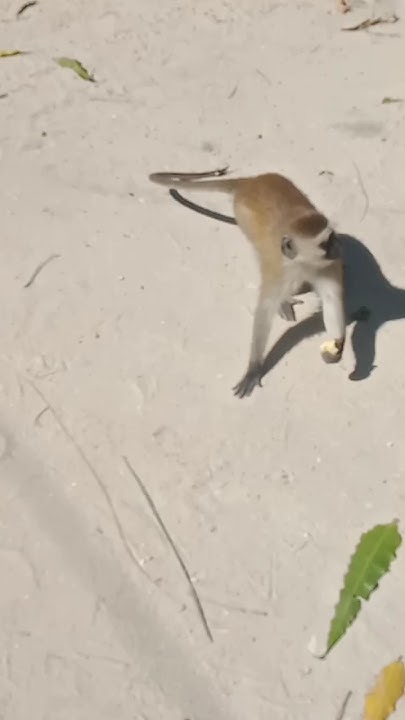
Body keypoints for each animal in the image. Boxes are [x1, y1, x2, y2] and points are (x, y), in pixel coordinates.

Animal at [149, 168, 345, 398]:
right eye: (326, 244)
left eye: (332, 237)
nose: (339, 246)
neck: (305, 264)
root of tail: (251, 182)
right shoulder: (279, 270)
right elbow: (264, 312)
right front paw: (253, 368)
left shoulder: (328, 267)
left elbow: (332, 300)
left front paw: (337, 347)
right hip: (242, 217)